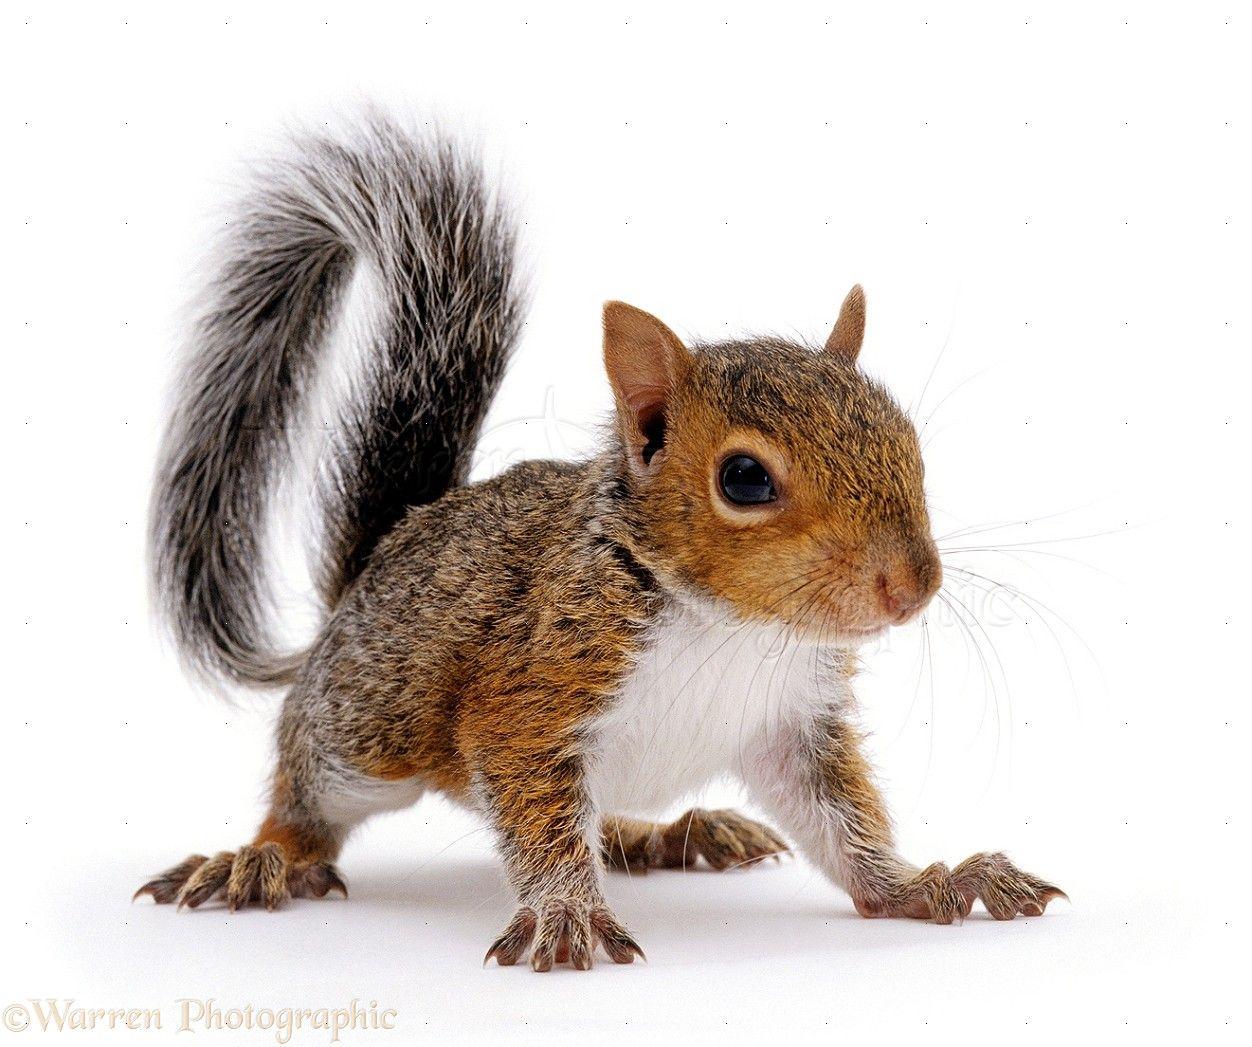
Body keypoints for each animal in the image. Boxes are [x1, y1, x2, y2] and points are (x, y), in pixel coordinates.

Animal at [135, 117, 1064, 971]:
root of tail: (388, 549)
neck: (731, 626)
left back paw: (672, 833)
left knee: (599, 818)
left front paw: (921, 882)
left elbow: (844, 826)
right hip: (371, 724)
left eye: (905, 437)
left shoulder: (793, 724)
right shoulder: (529, 692)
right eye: (745, 480)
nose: (912, 584)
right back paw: (258, 859)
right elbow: (540, 817)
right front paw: (564, 913)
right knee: (307, 791)